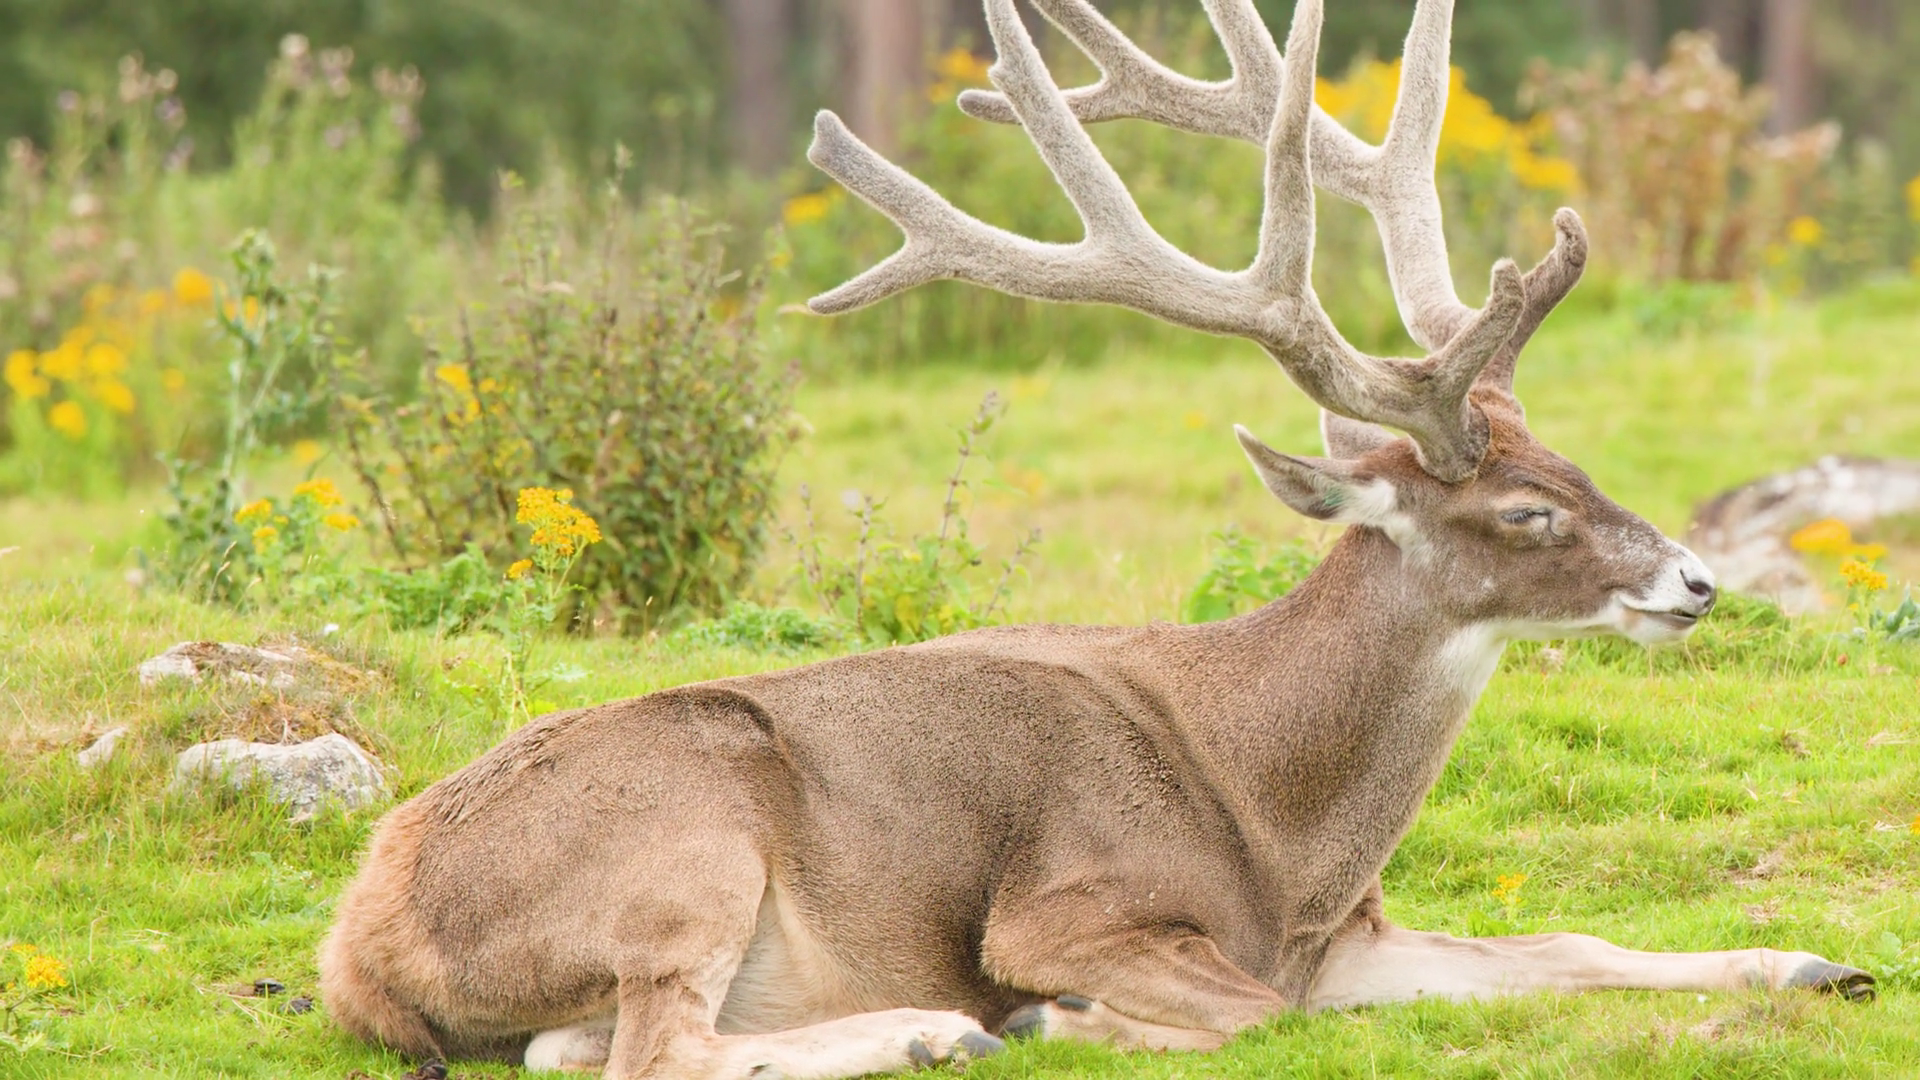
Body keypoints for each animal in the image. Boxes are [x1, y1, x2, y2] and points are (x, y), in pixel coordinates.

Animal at [318, 1, 1876, 1076]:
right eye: (1527, 511)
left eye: (1575, 463)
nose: (1696, 580)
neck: (1281, 833)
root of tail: (356, 939)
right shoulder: (1064, 905)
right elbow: (1253, 1016)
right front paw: (1057, 1020)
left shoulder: (1351, 941)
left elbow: (1565, 943)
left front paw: (1814, 964)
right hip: (677, 846)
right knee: (646, 1053)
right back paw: (940, 1031)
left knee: (573, 1048)